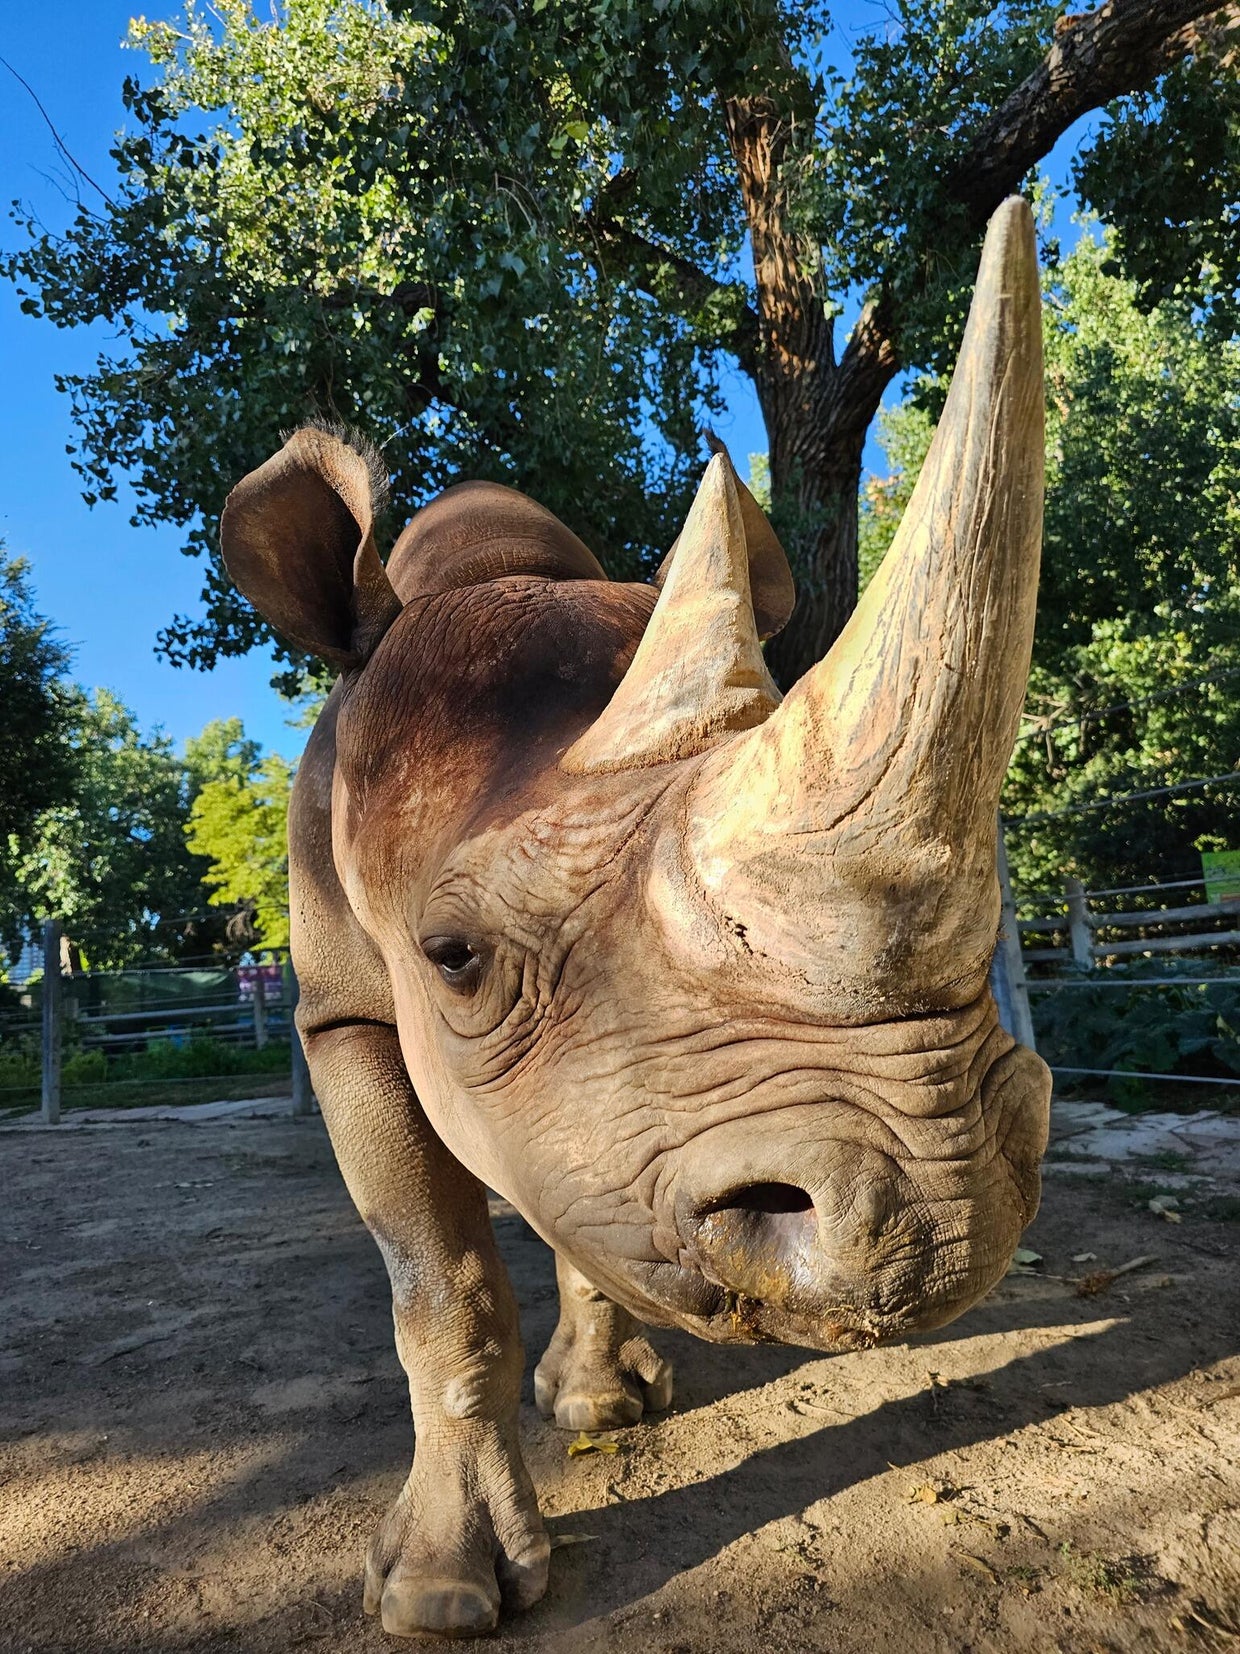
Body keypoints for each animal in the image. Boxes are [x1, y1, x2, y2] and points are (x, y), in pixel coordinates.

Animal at [219, 197, 1050, 1638]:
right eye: (453, 958)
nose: (943, 1212)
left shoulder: (601, 1095)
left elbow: (574, 1193)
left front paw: (601, 1404)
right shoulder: (342, 1007)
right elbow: (442, 1281)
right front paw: (441, 1597)